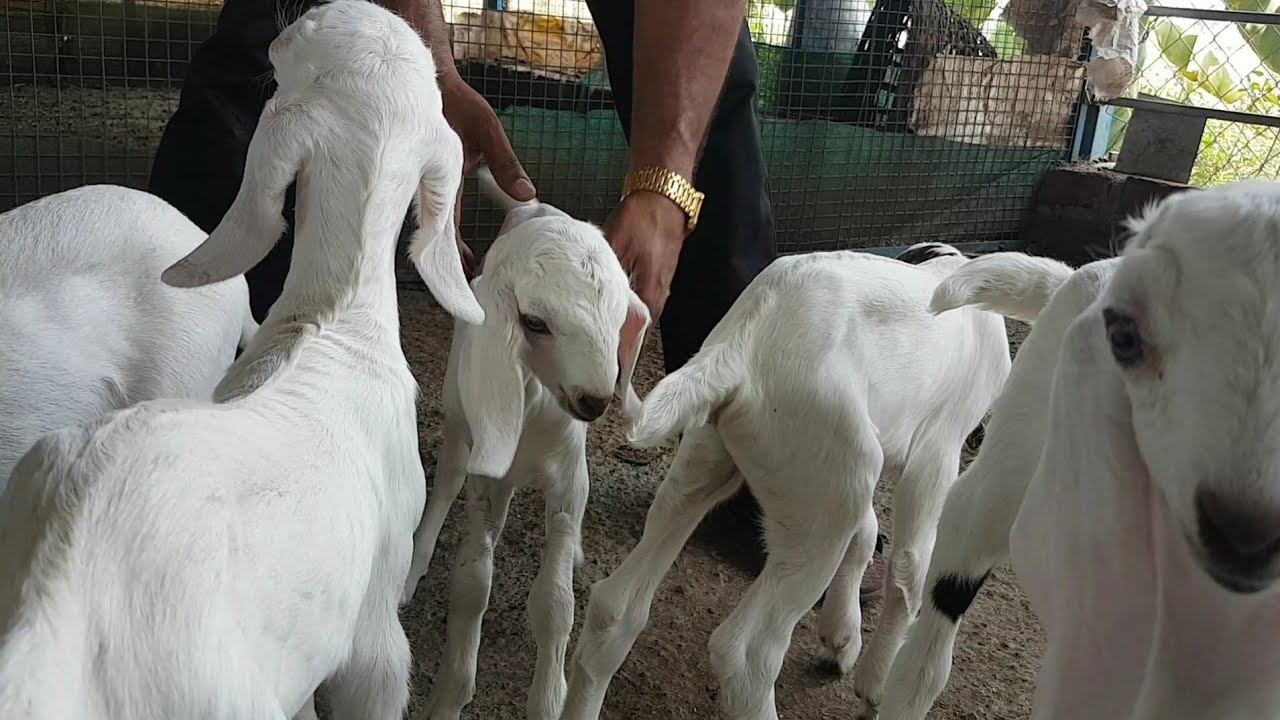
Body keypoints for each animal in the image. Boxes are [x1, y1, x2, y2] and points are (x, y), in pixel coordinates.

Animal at [401, 168, 650, 720]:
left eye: (621, 318)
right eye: (535, 322)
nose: (596, 400)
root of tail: (531, 206)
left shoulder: (569, 479)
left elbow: (555, 603)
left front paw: (549, 697)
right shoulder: (483, 471)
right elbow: (472, 584)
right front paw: (450, 694)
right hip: (460, 419)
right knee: (446, 482)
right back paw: (414, 565)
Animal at [559, 243, 1033, 720]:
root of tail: (742, 345)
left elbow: (867, 534)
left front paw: (841, 637)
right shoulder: (937, 450)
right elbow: (909, 568)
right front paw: (876, 683)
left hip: (717, 466)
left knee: (616, 607)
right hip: (822, 508)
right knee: (745, 654)